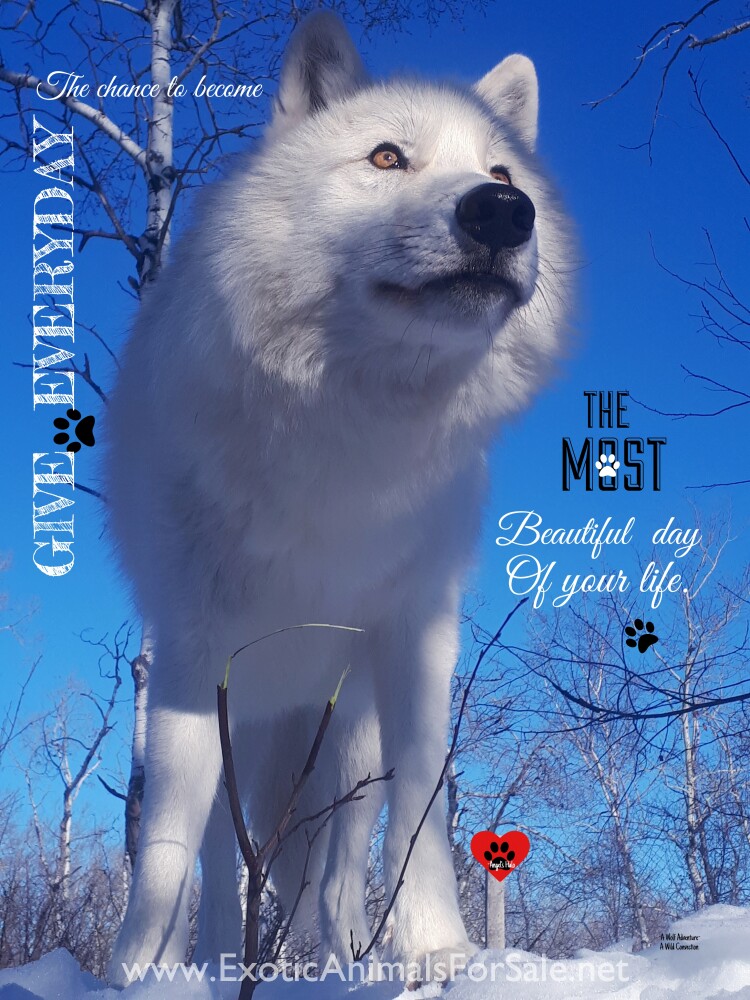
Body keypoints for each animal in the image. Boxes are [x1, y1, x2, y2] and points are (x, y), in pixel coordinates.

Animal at [106, 10, 573, 985]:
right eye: (387, 157)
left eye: (502, 173)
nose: (502, 213)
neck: (351, 436)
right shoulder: (187, 659)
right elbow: (163, 849)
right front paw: (135, 975)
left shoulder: (415, 636)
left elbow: (422, 806)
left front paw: (438, 950)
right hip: (236, 738)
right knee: (220, 867)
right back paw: (216, 966)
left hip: (344, 748)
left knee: (332, 877)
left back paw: (348, 964)